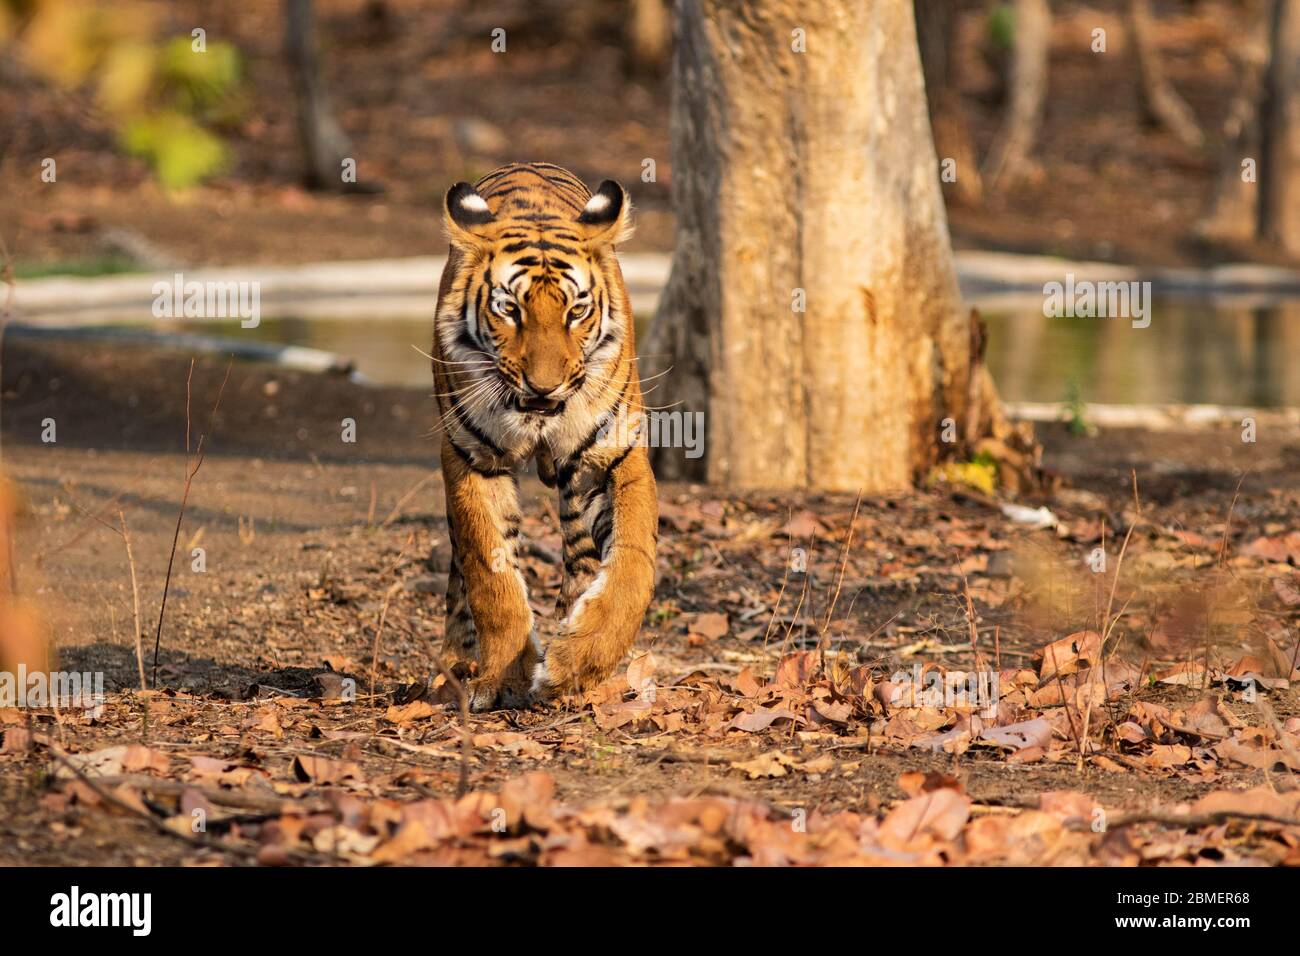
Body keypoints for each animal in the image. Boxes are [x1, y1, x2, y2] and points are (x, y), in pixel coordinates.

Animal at [430, 162, 658, 711]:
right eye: (510, 309)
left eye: (576, 311)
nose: (544, 386)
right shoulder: (472, 458)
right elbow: (491, 576)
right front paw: (508, 677)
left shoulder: (613, 456)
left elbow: (632, 563)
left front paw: (577, 662)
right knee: (460, 575)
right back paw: (455, 664)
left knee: (580, 553)